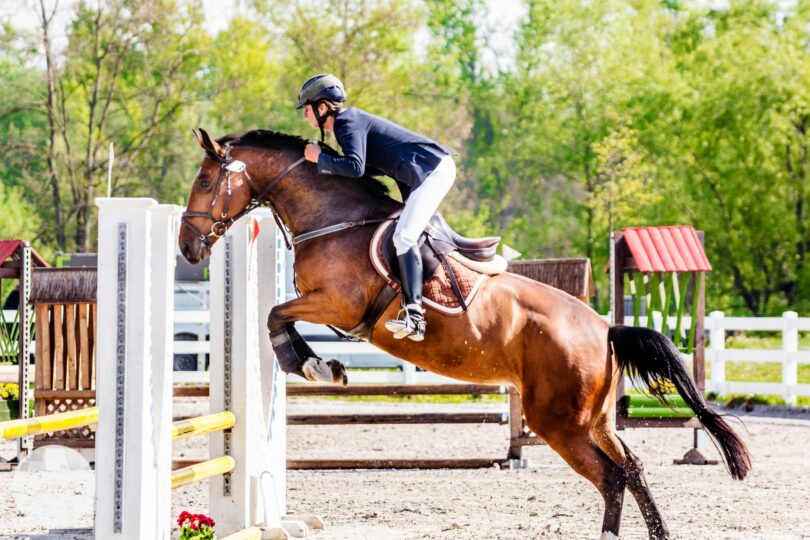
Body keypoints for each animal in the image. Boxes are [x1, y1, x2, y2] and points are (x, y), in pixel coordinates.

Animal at [178, 128, 751, 539]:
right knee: (631, 468)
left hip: (559, 422)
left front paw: (313, 364)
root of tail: (606, 327)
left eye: (205, 183)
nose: (187, 247)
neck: (333, 218)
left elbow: (276, 315)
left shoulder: (337, 303)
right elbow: (279, 315)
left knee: (612, 477)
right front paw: (319, 363)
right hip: (595, 419)